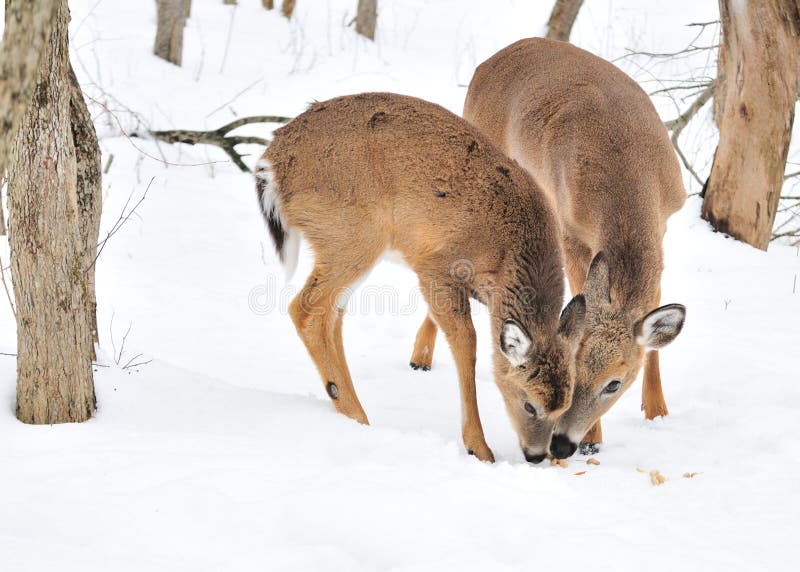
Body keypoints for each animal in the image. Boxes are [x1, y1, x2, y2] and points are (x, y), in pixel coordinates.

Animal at [255, 92, 587, 464]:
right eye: (529, 403)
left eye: (564, 407)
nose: (537, 456)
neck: (508, 252)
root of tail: (272, 162)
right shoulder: (435, 266)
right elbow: (467, 342)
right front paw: (479, 447)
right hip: (352, 233)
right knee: (307, 310)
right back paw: (358, 414)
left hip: (344, 242)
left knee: (332, 315)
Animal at [409, 38, 686, 459]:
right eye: (574, 371)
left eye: (615, 382)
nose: (563, 444)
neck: (628, 182)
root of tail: (493, 59)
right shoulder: (569, 229)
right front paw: (594, 438)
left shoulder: (665, 224)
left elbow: (652, 308)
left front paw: (657, 410)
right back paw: (419, 358)